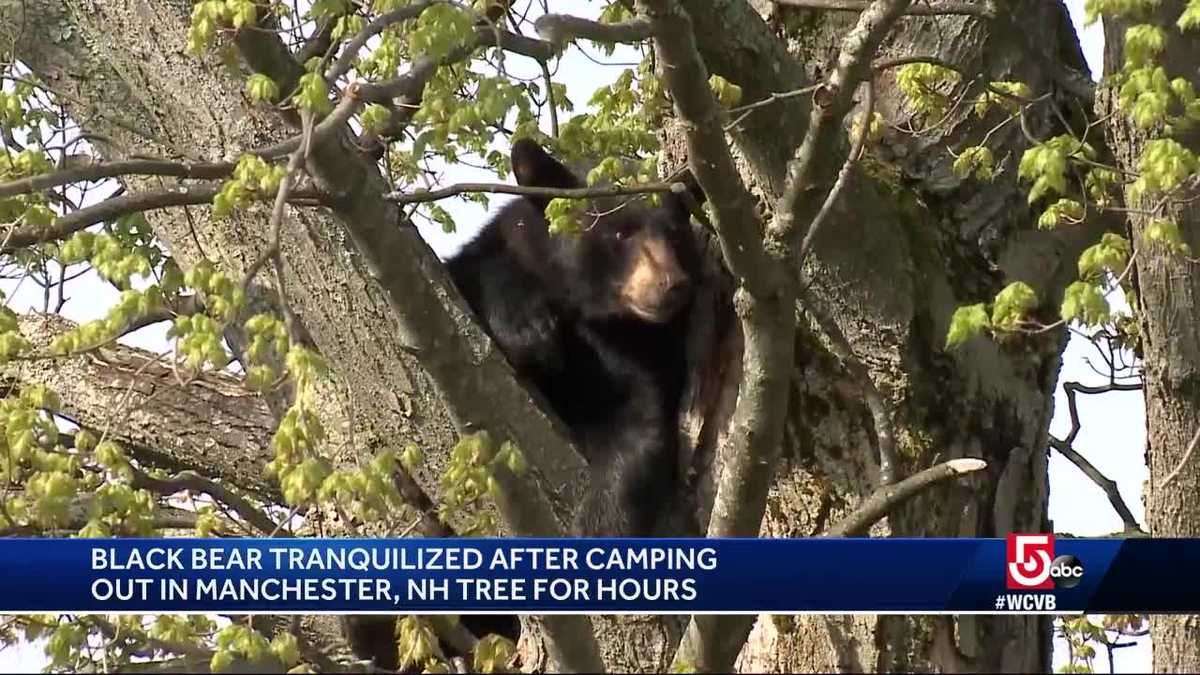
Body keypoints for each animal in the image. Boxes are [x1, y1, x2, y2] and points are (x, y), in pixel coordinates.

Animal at [447, 137, 705, 538]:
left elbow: (640, 428)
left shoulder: (647, 354)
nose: (673, 284)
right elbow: (479, 273)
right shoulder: (505, 246)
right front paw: (529, 331)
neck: (589, 309)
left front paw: (598, 525)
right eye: (621, 231)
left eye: (675, 232)